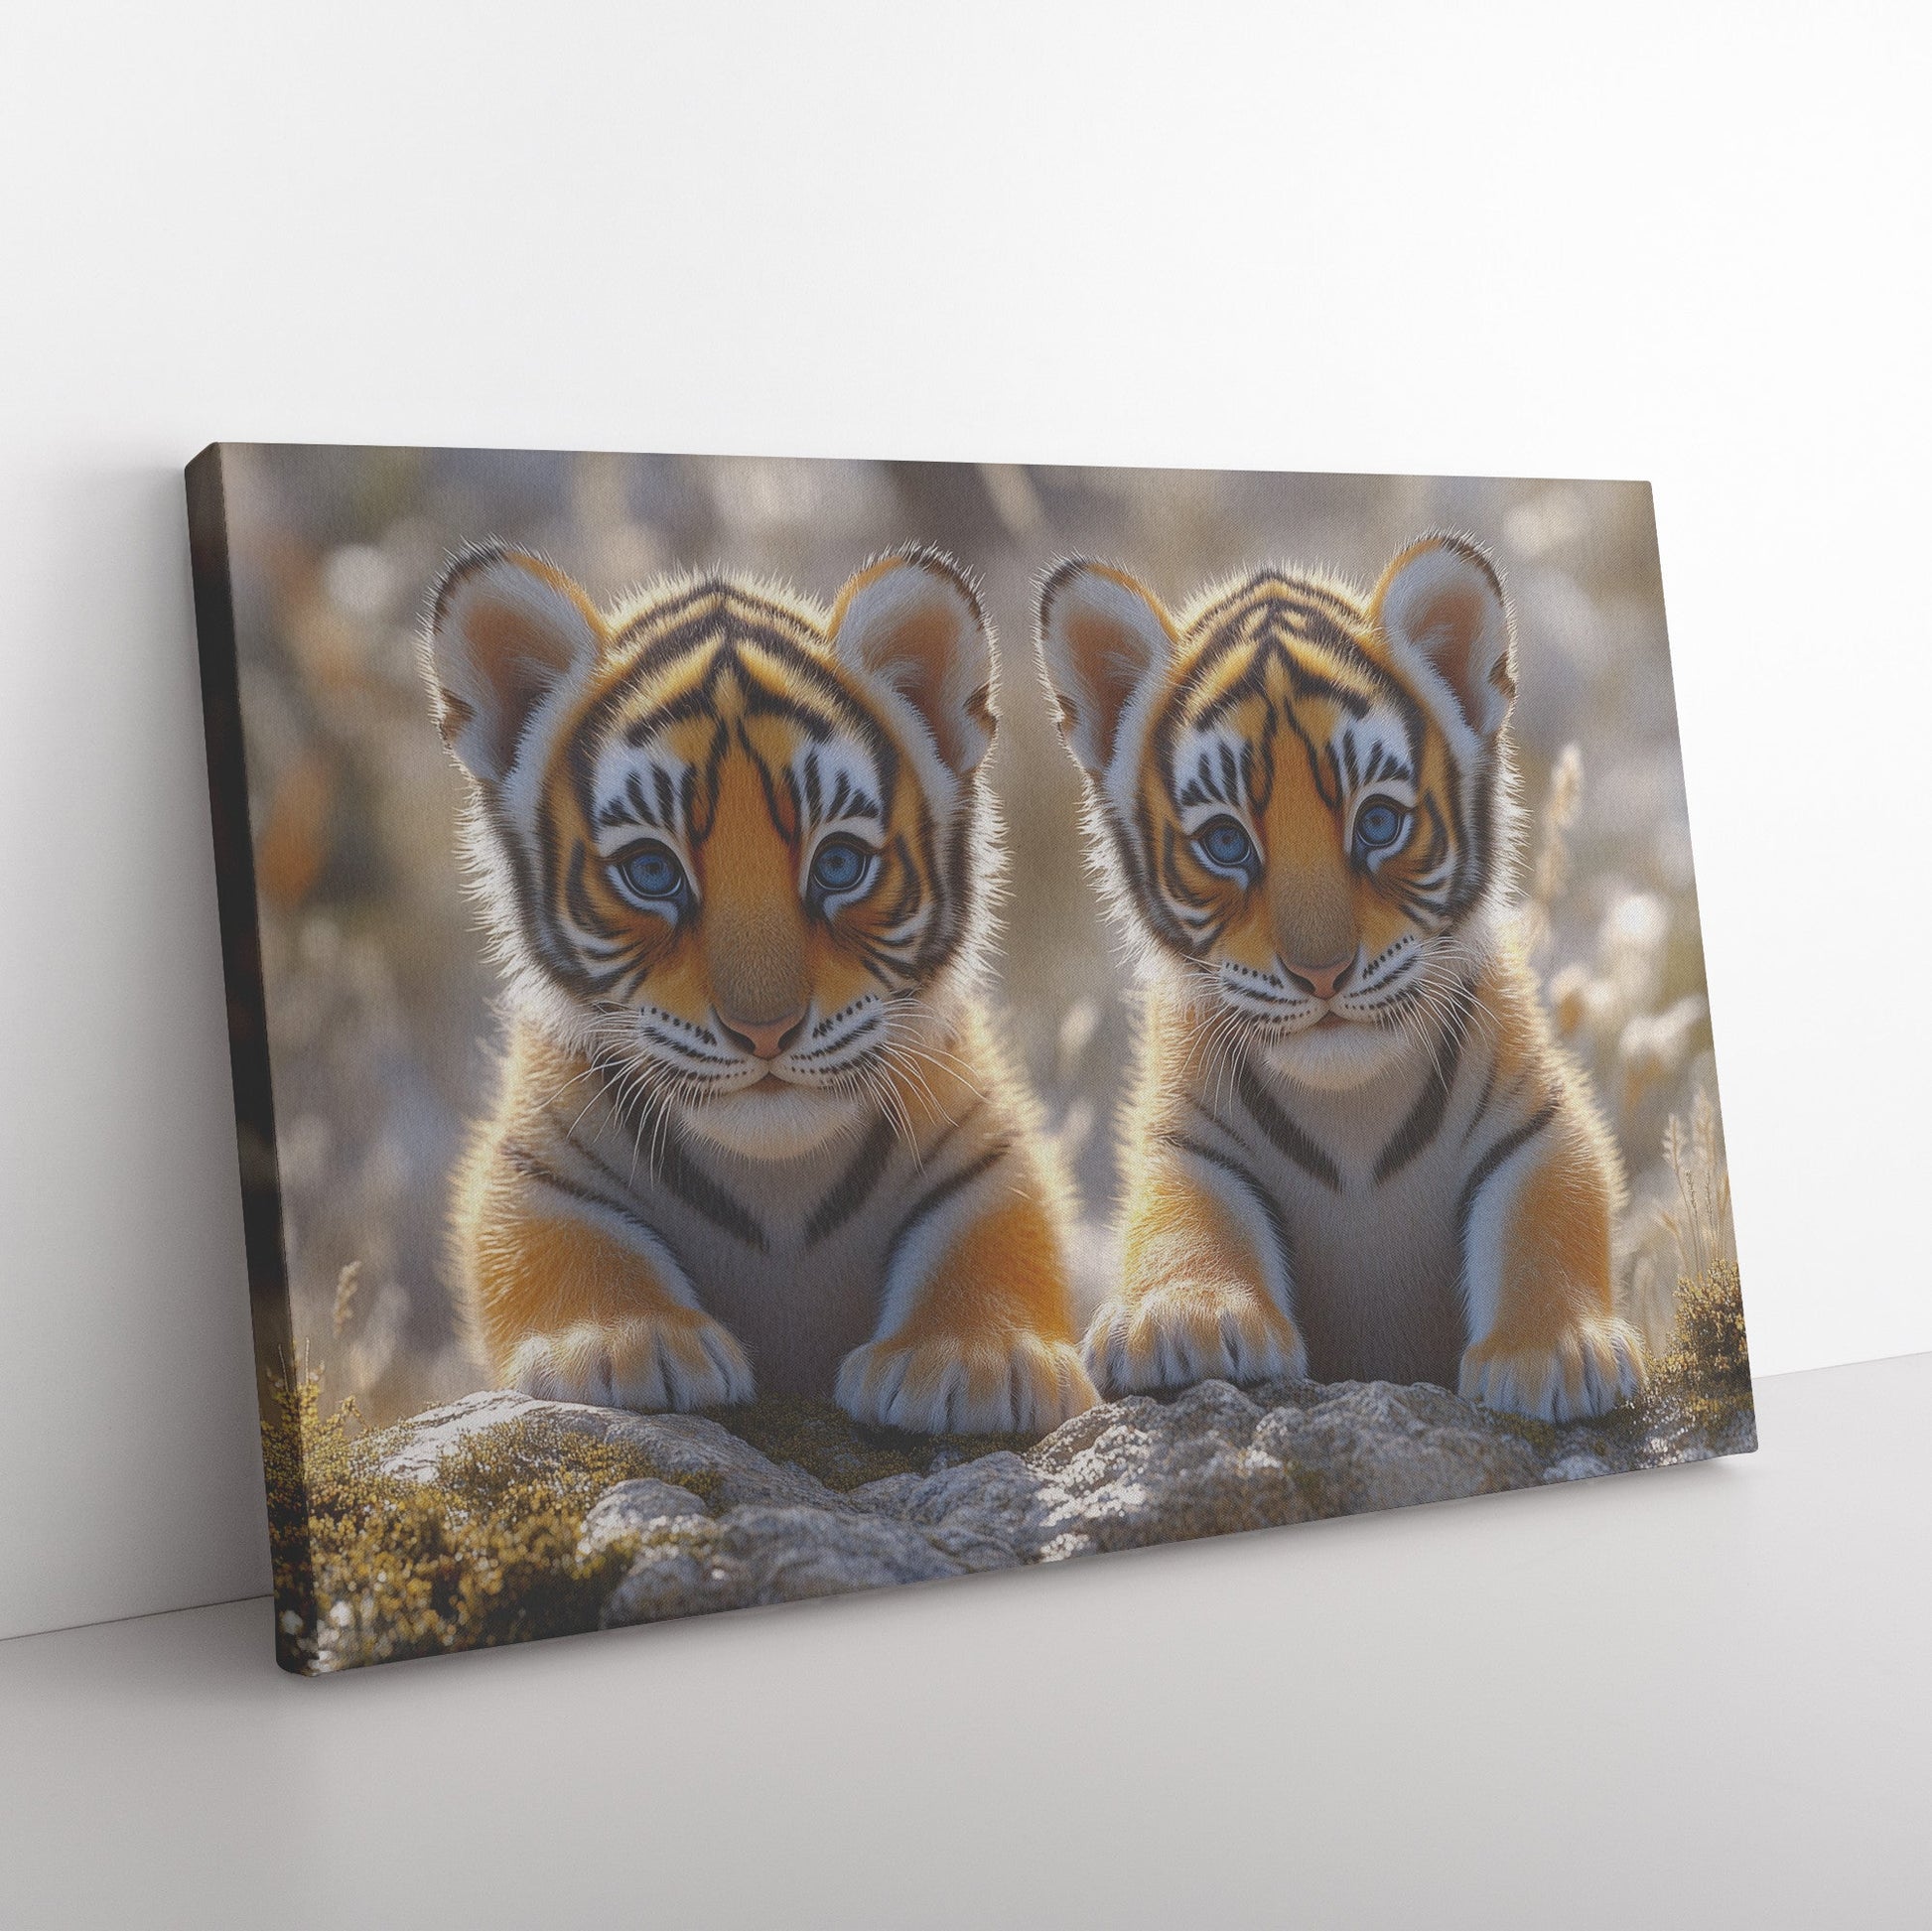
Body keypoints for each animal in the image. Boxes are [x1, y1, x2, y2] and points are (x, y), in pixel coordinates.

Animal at [422, 543, 1096, 1435]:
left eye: (839, 863)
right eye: (652, 871)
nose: (766, 1030)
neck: (778, 1185)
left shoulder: (985, 1137)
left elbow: (994, 1230)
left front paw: (973, 1357)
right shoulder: (532, 1156)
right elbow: (560, 1240)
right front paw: (625, 1341)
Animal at [1035, 532, 1644, 1422]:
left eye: (1379, 823)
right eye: (1226, 842)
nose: (1321, 972)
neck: (1351, 1107)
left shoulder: (1536, 1111)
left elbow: (1551, 1202)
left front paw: (1560, 1352)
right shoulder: (1186, 1132)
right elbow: (1184, 1212)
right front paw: (1184, 1318)